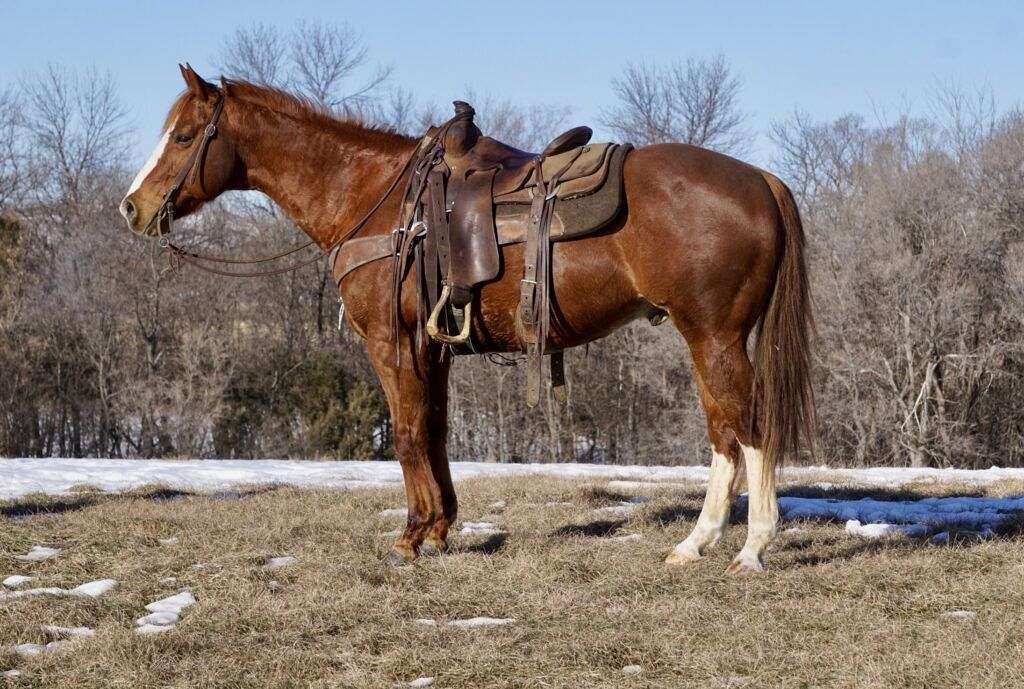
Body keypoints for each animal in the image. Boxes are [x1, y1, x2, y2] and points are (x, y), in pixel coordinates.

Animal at [119, 65, 814, 573]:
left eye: (184, 136)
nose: (132, 207)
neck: (375, 200)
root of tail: (760, 179)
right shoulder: (433, 348)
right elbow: (434, 431)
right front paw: (441, 528)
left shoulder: (391, 343)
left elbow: (405, 434)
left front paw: (411, 537)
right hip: (708, 339)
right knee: (725, 432)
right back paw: (695, 544)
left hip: (714, 337)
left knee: (749, 430)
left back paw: (752, 548)